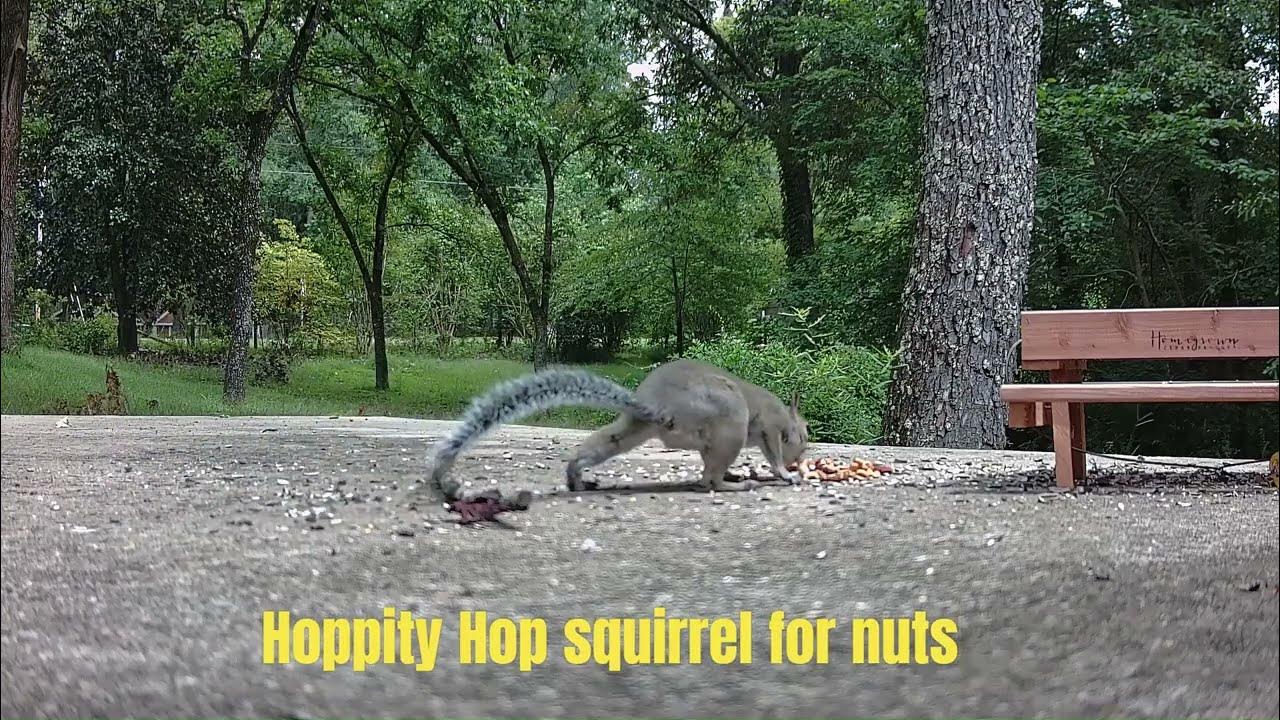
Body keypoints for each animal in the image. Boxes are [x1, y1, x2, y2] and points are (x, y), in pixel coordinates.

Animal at [422, 358, 810, 504]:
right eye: (804, 436)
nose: (803, 457)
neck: (784, 416)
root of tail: (657, 406)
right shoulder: (770, 428)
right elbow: (773, 454)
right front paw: (784, 474)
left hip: (635, 431)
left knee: (603, 445)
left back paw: (576, 477)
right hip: (731, 421)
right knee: (708, 480)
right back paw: (734, 485)